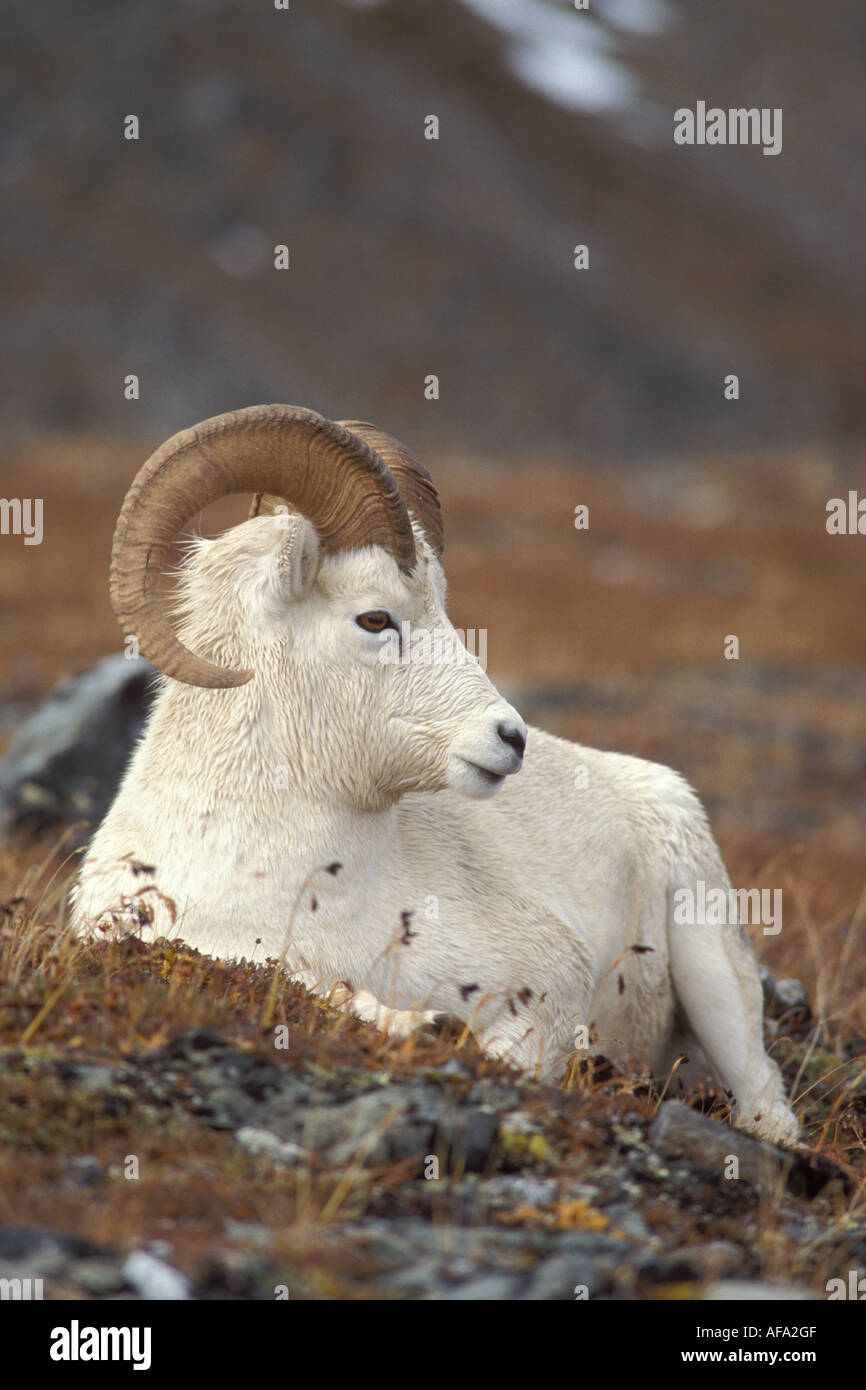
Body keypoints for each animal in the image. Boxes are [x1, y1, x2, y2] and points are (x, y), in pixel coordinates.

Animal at [72, 404, 798, 1144]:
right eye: (375, 617)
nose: (510, 737)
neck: (285, 883)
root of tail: (659, 787)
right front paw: (423, 1027)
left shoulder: (549, 984)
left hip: (715, 973)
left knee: (766, 1099)